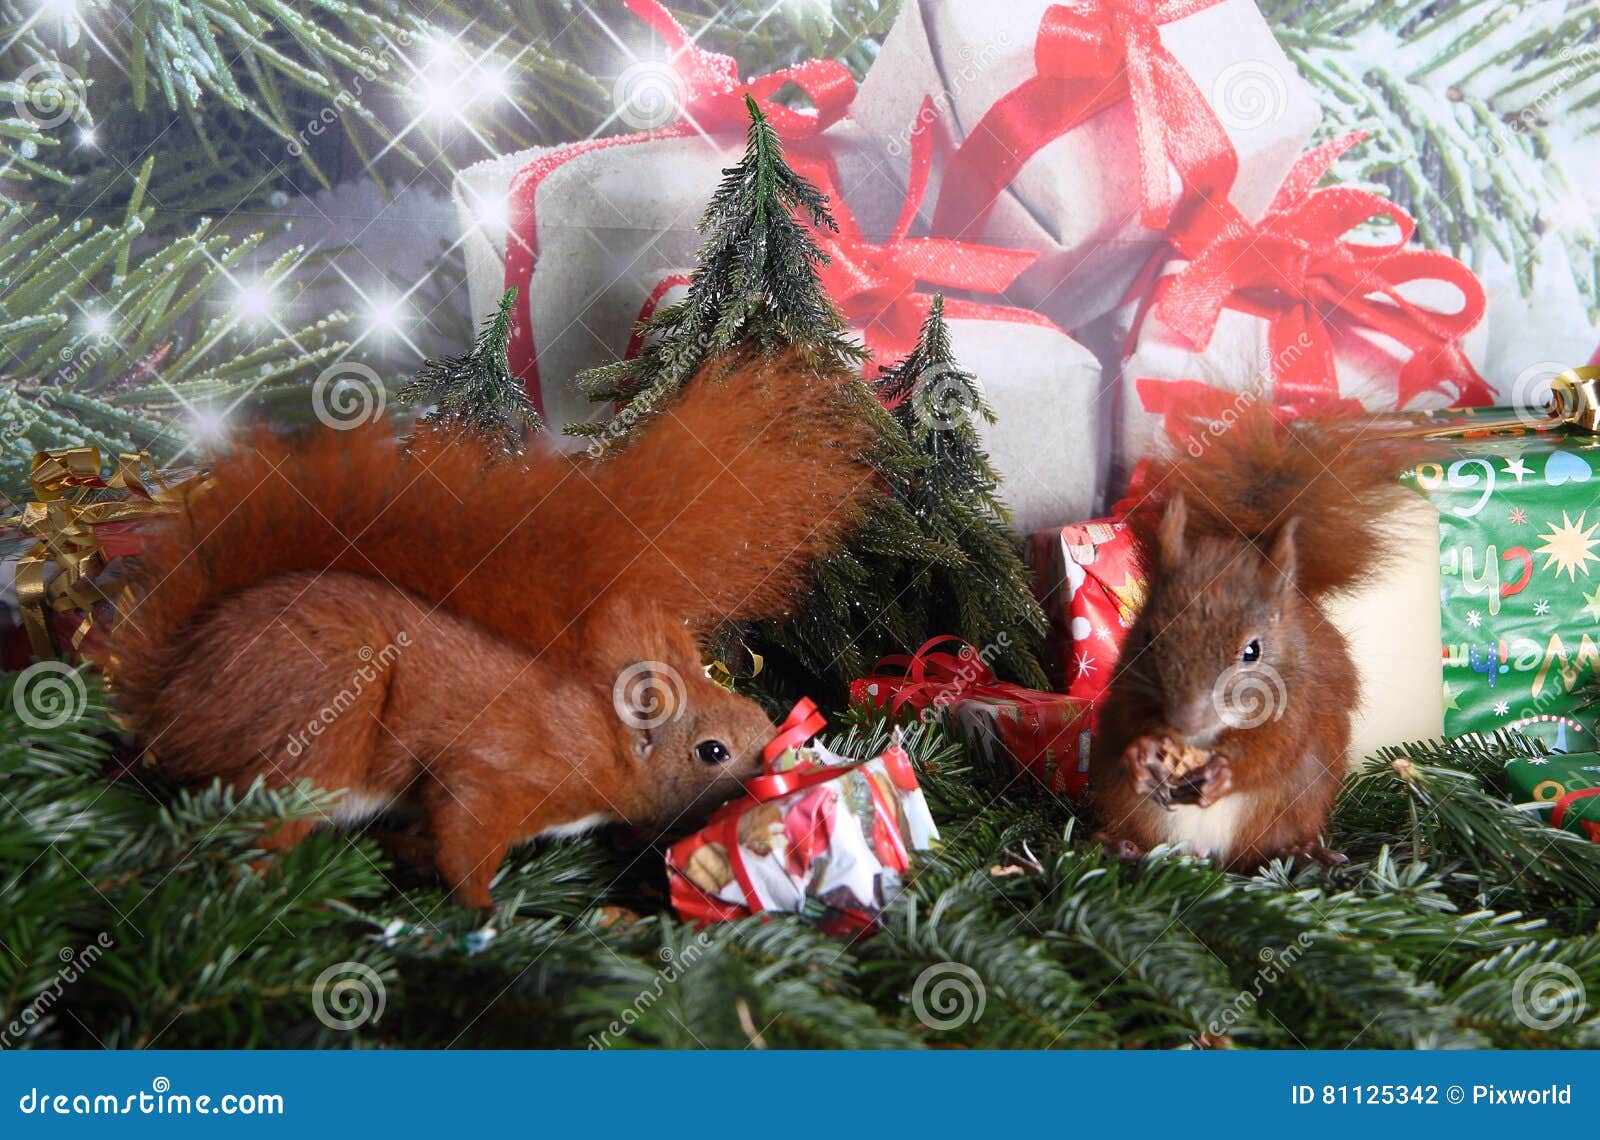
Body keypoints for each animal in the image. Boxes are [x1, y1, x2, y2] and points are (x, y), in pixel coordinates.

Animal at [104, 352, 873, 909]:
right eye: (713, 751)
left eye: (751, 708)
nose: (779, 755)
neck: (604, 738)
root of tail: (172, 695)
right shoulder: (498, 772)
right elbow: (465, 840)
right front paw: (483, 911)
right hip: (316, 732)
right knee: (257, 822)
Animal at [1089, 407, 1413, 871]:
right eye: (1148, 637)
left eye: (1253, 651)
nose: (1184, 723)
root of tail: (1204, 854)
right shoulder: (1126, 686)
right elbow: (1128, 720)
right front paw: (1141, 753)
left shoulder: (1299, 699)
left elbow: (1275, 747)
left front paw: (1225, 770)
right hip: (1122, 800)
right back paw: (1118, 844)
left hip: (1296, 801)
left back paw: (1300, 852)